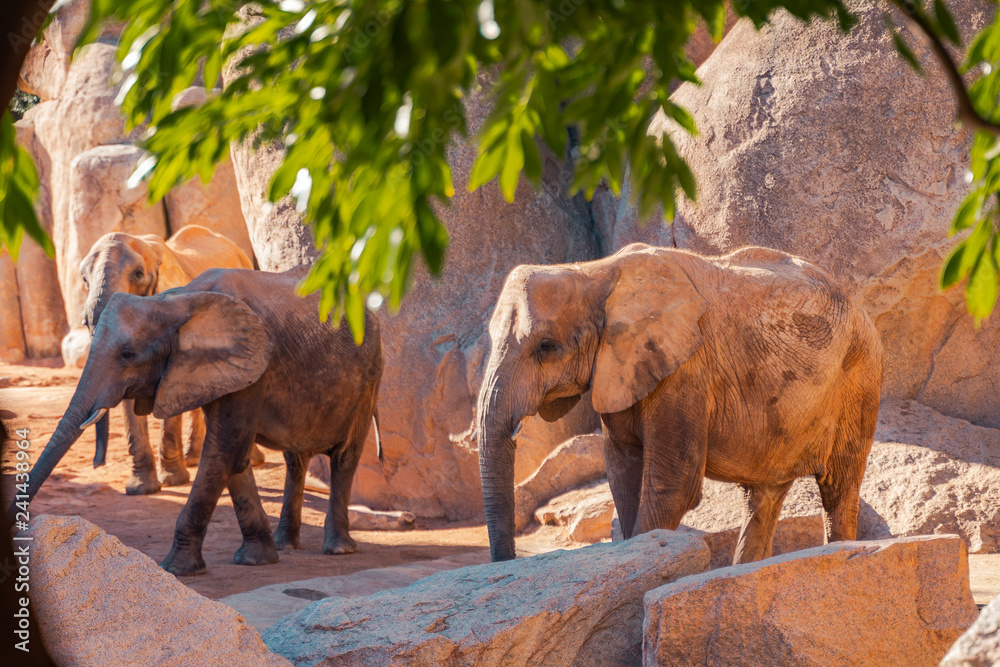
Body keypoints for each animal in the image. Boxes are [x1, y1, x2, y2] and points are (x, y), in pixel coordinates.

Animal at [19, 266, 383, 576]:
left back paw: (339, 549)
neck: (177, 300)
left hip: (370, 374)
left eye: (127, 355)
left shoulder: (253, 367)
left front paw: (176, 569)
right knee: (296, 459)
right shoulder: (219, 371)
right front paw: (257, 560)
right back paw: (285, 545)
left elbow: (223, 450)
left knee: (345, 457)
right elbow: (232, 457)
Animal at [79, 225, 261, 495]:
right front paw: (141, 489)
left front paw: (173, 480)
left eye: (138, 274)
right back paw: (193, 458)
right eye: (83, 279)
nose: (96, 465)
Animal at [476, 243, 883, 563]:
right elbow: (624, 476)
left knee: (838, 488)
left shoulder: (686, 370)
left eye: (546, 347)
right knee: (764, 496)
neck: (595, 272)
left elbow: (672, 486)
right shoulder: (621, 369)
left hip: (860, 377)